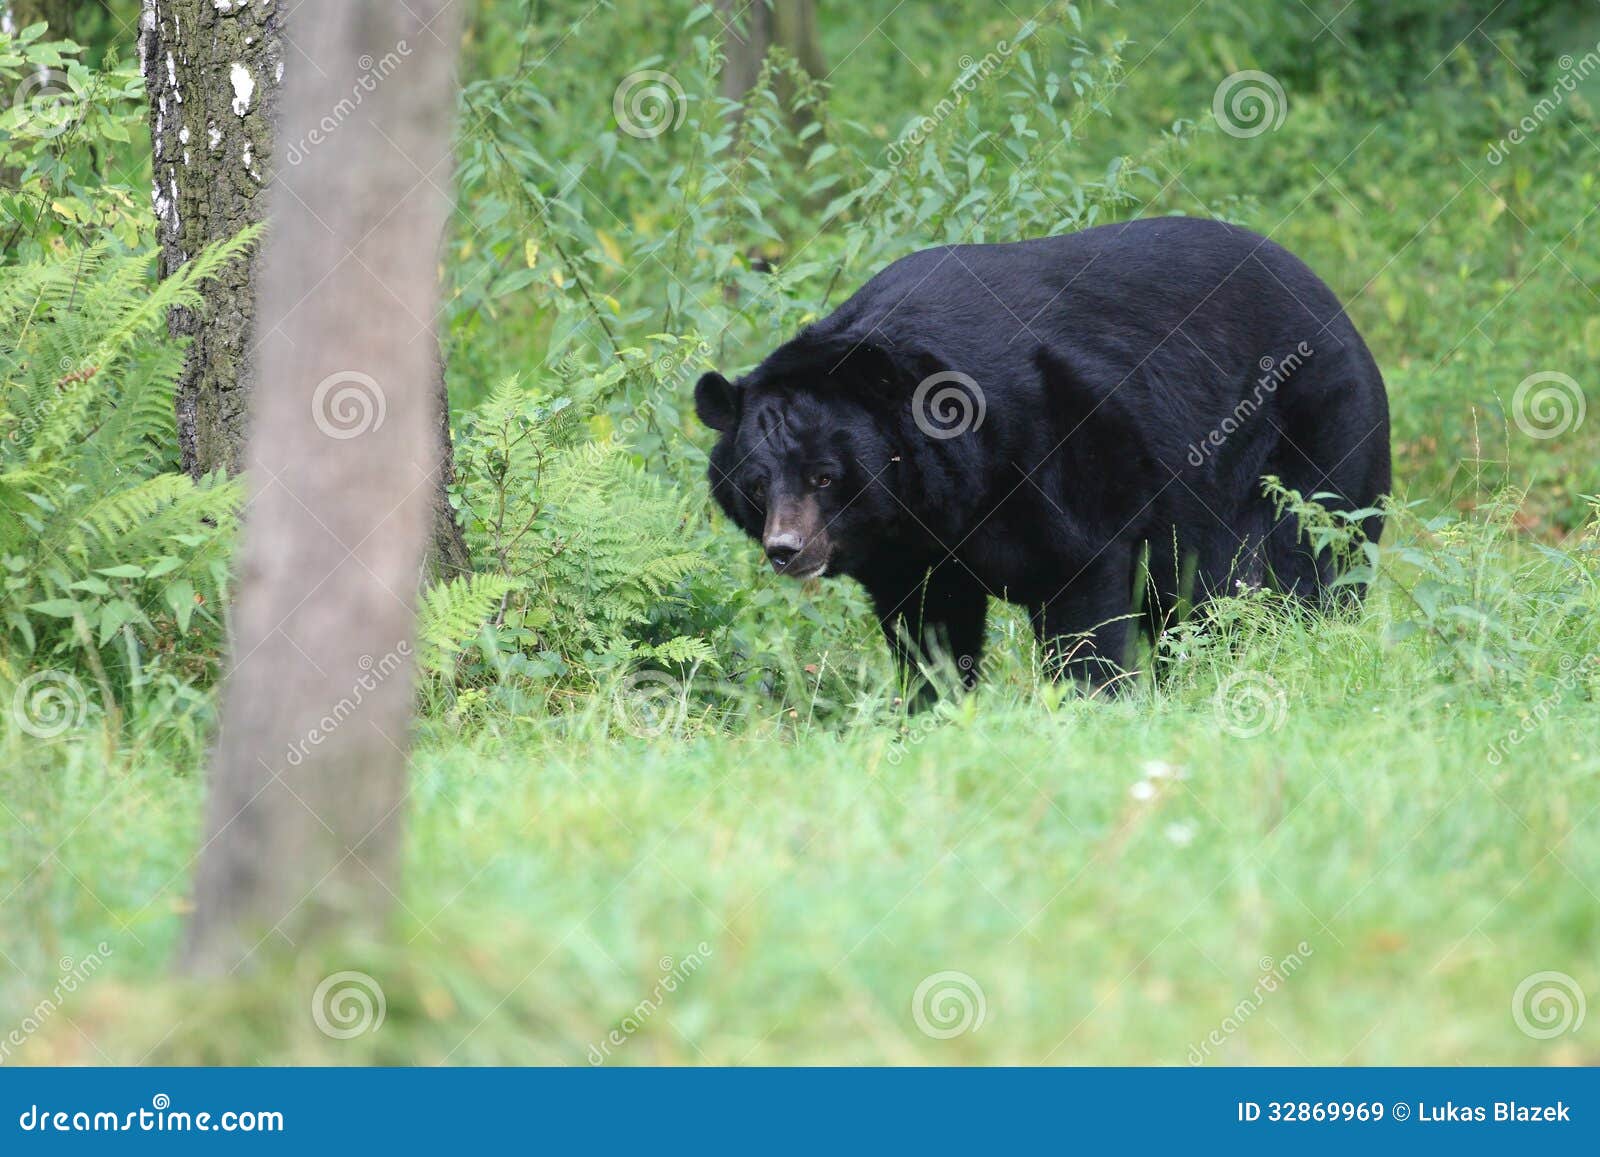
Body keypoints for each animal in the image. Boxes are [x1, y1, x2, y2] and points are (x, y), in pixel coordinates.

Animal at [696, 216, 1391, 701]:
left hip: (1312, 440)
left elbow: (1083, 585)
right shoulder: (911, 547)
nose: (785, 550)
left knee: (1289, 573)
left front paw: (1091, 703)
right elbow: (927, 627)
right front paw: (933, 708)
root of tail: (1345, 319)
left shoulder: (1062, 449)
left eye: (825, 476)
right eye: (756, 484)